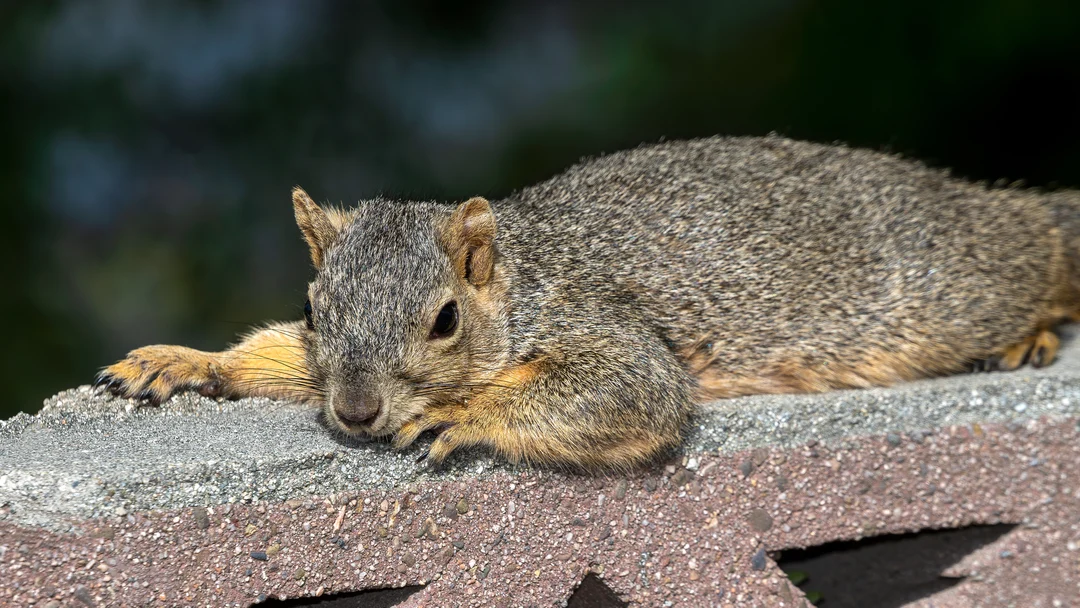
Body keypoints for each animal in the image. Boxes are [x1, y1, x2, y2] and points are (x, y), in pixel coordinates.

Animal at [96, 134, 1080, 470]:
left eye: (445, 320)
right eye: (313, 313)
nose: (358, 413)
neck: (522, 280)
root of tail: (979, 203)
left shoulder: (601, 322)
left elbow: (633, 389)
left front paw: (467, 414)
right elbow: (261, 359)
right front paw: (180, 361)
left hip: (960, 285)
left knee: (1038, 262)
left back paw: (1033, 331)